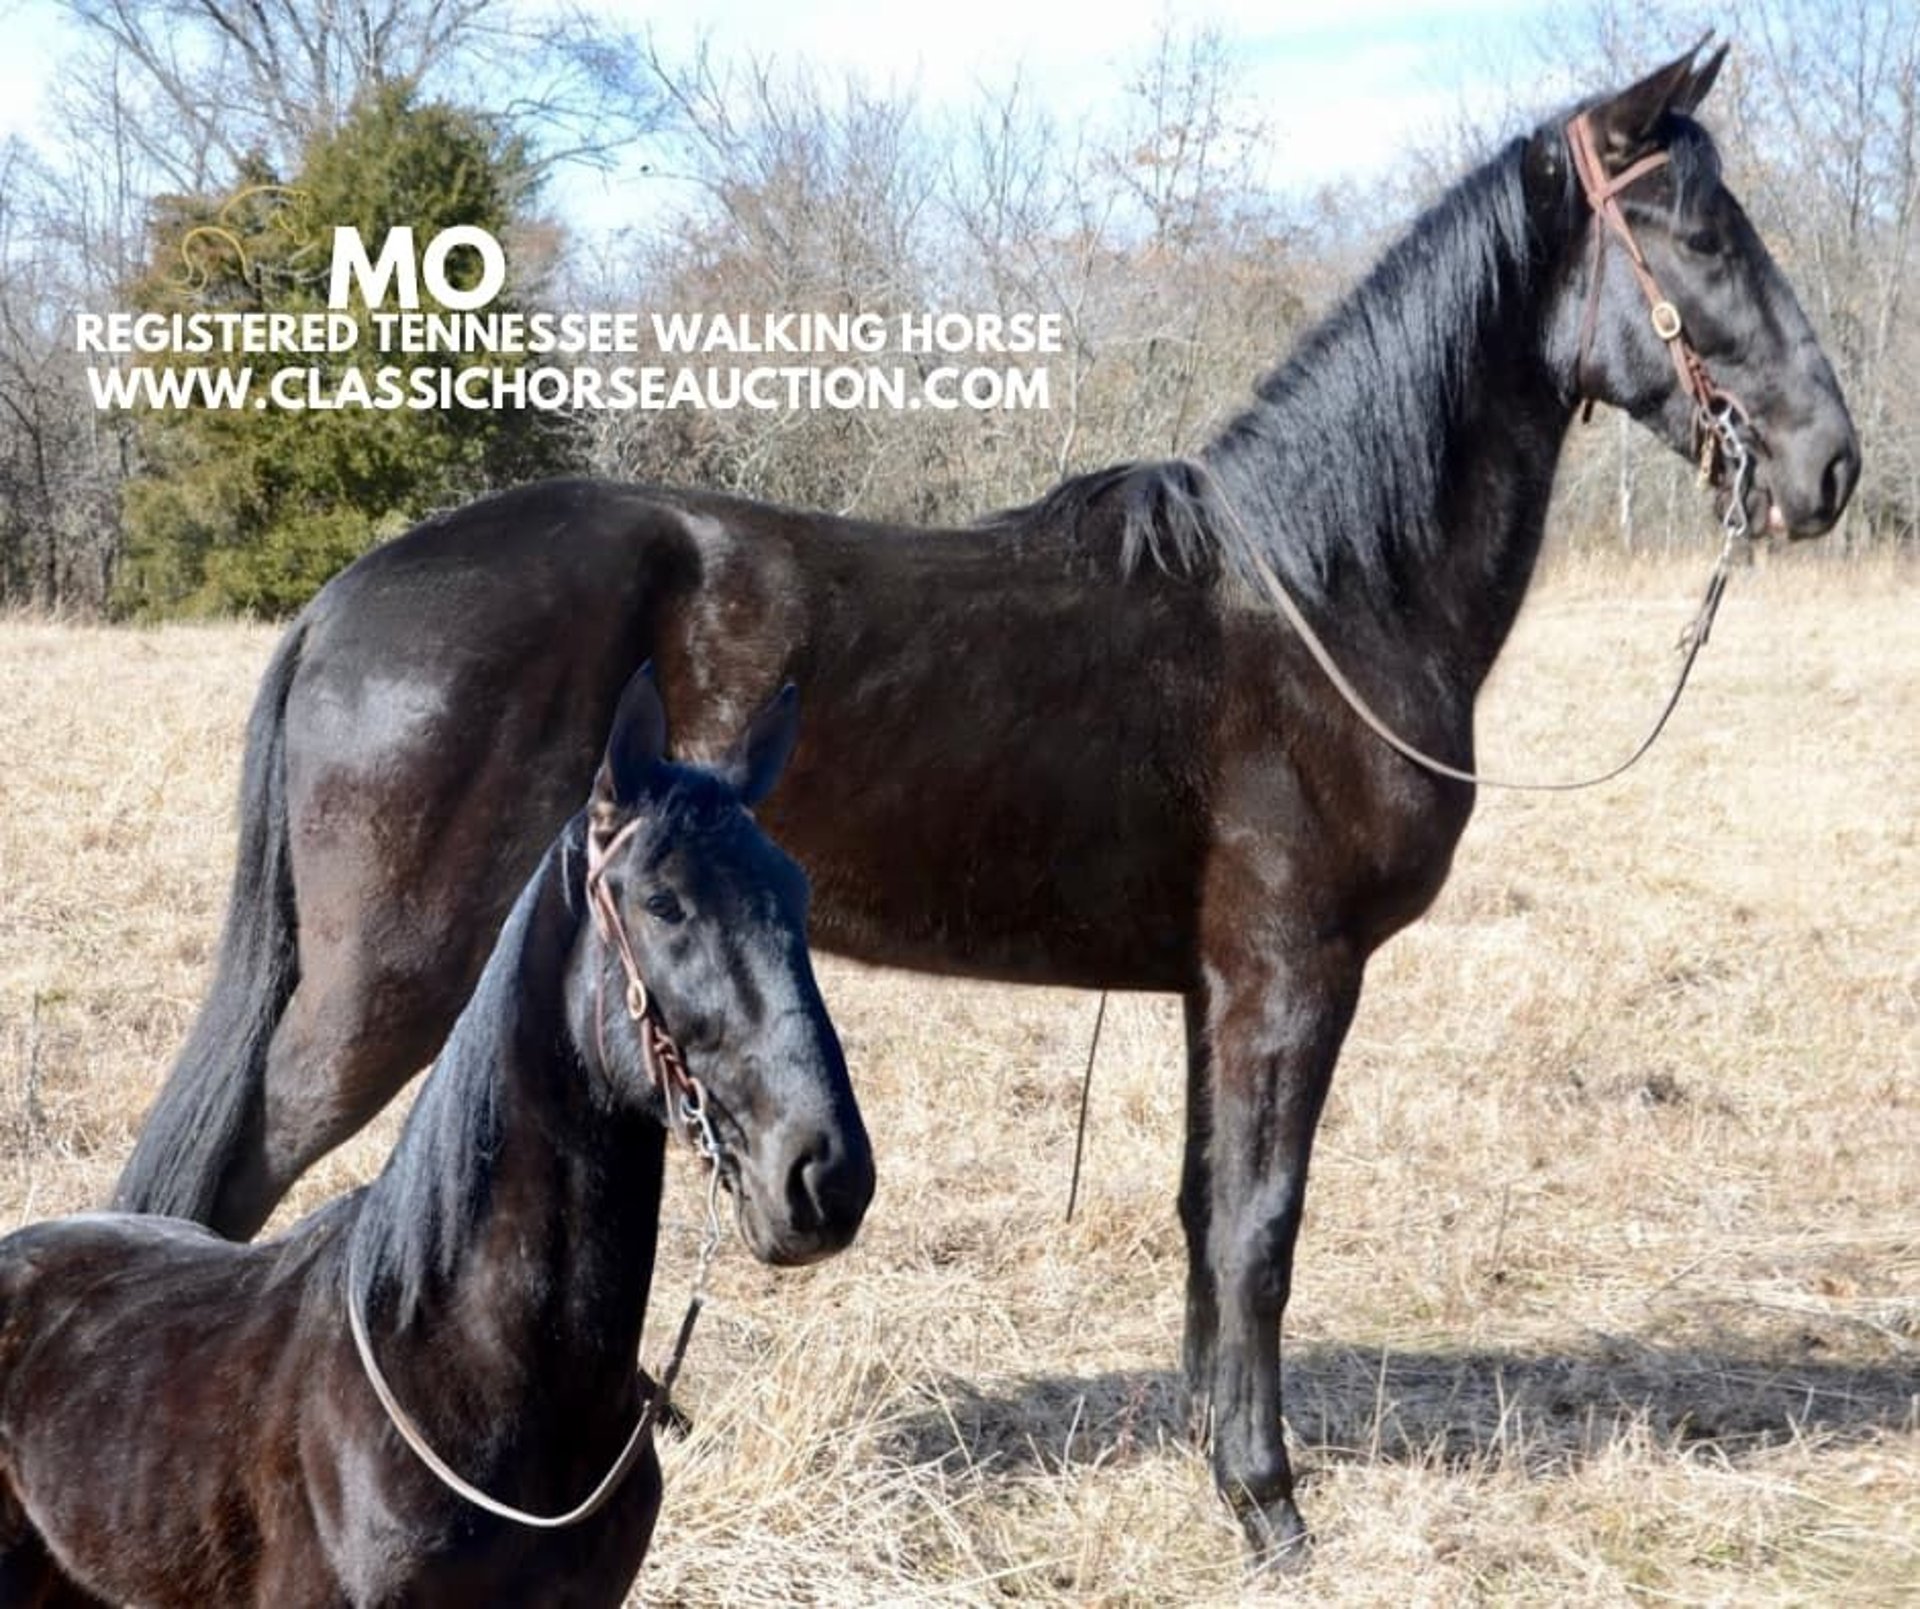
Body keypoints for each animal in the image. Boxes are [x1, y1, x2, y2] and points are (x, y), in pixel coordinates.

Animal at [112, 44, 1857, 1562]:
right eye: (1698, 230)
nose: (1831, 465)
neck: (1318, 595)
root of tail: (346, 601)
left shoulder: (1216, 987)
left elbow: (1207, 1220)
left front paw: (1222, 1467)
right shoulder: (1289, 975)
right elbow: (1260, 1231)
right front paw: (1270, 1508)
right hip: (381, 993)